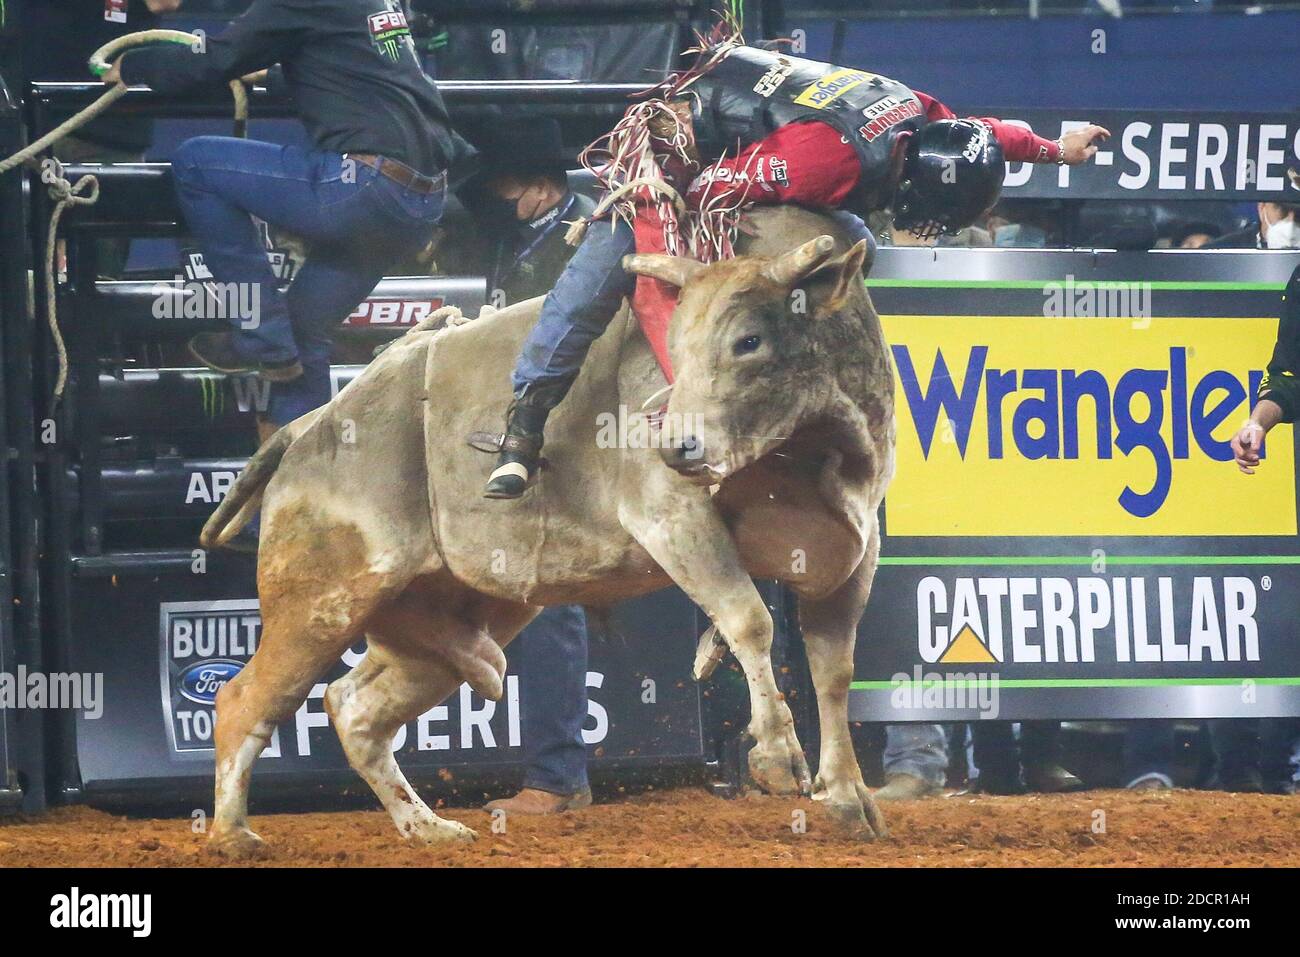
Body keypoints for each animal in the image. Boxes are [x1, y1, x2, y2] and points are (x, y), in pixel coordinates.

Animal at [198, 205, 896, 857]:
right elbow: (750, 620)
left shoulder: (855, 548)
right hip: (321, 597)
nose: (677, 446)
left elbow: (834, 670)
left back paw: (428, 826)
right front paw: (779, 758)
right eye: (678, 345)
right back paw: (233, 833)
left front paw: (850, 799)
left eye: (749, 340)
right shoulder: (673, 516)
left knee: (356, 710)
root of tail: (307, 428)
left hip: (444, 620)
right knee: (245, 701)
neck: (814, 442)